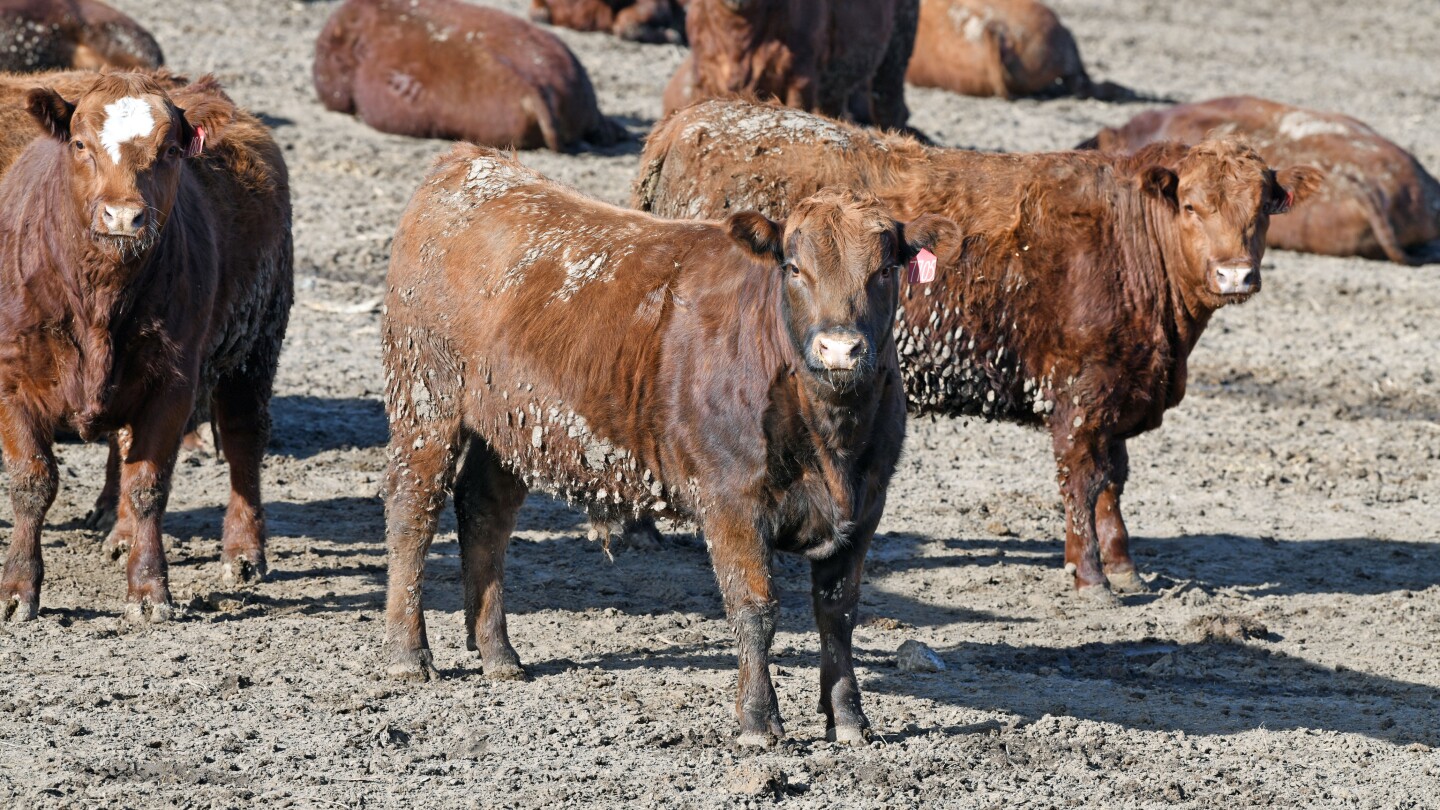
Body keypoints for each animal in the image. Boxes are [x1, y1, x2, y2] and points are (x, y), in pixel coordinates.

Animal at [0, 72, 293, 623]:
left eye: (171, 150)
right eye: (80, 144)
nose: (122, 217)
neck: (96, 297)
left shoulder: (172, 383)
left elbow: (148, 485)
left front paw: (150, 589)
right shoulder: (11, 382)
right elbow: (32, 482)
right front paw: (17, 589)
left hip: (254, 345)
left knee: (244, 438)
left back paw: (243, 551)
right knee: (124, 442)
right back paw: (117, 535)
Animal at [381, 145, 952, 746]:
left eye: (884, 270)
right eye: (795, 268)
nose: (840, 349)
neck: (832, 440)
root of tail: (471, 162)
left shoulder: (866, 507)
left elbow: (838, 614)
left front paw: (849, 718)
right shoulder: (731, 502)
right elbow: (755, 609)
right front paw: (758, 720)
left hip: (508, 426)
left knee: (485, 513)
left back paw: (498, 653)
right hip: (426, 398)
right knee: (413, 511)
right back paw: (408, 653)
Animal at [631, 99, 1322, 601]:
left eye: (1263, 208)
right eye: (1192, 205)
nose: (1236, 274)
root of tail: (690, 121)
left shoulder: (1117, 390)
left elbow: (1113, 481)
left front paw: (1123, 564)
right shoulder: (1079, 394)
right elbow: (1083, 480)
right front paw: (1092, 578)